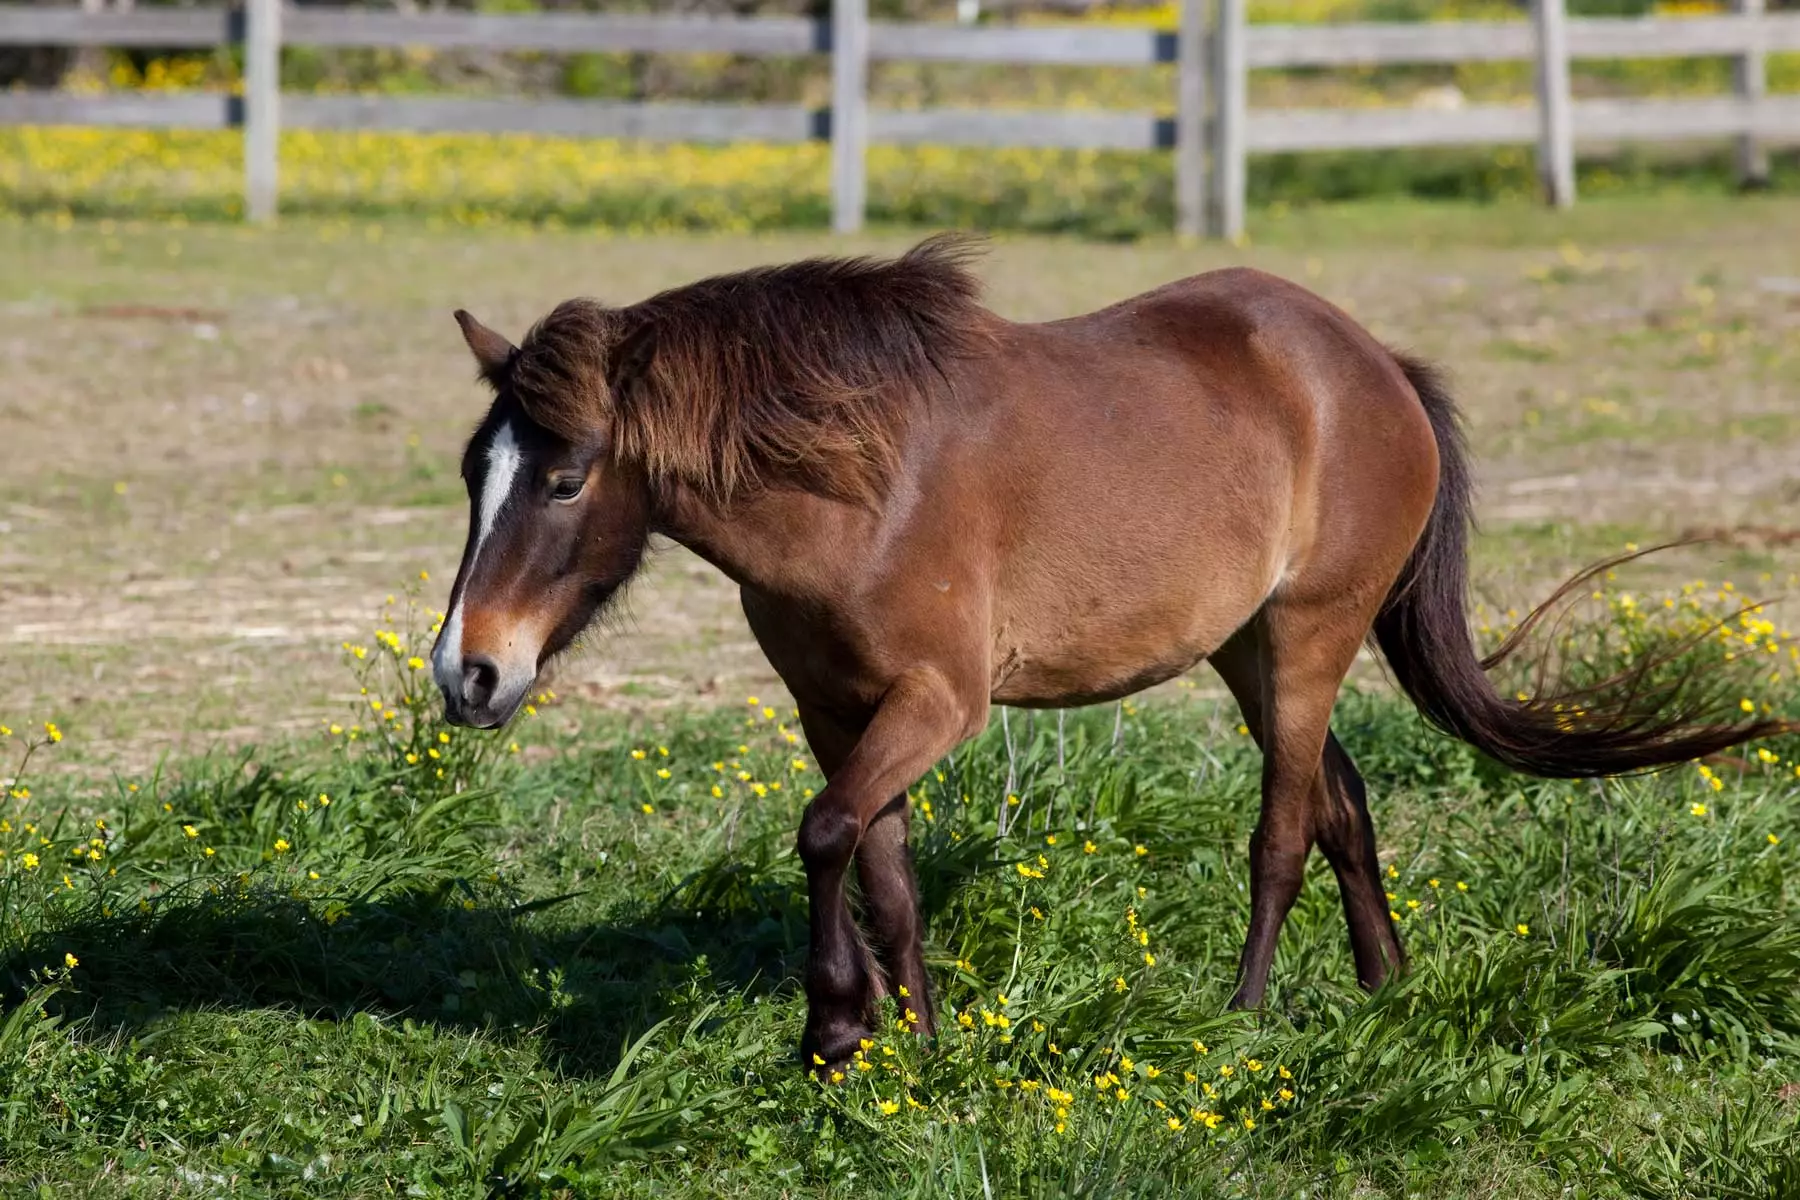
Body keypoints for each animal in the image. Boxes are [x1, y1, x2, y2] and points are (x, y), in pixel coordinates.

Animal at [428, 233, 1778, 1072]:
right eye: (472, 471)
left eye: (563, 478)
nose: (466, 674)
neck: (863, 483)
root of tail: (1373, 365)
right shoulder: (836, 709)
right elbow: (882, 874)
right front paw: (917, 1047)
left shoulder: (939, 703)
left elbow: (822, 834)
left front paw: (835, 1026)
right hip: (1246, 649)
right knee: (1344, 807)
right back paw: (1386, 989)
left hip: (1310, 635)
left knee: (1285, 832)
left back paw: (1242, 1018)